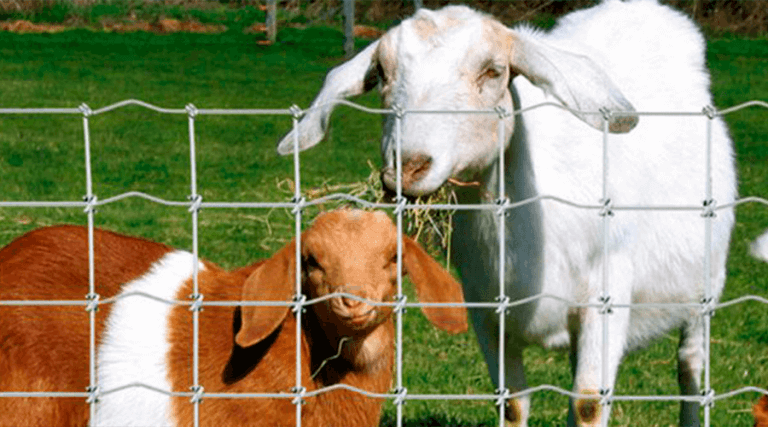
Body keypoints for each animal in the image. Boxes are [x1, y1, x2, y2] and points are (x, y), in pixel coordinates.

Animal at [277, 2, 736, 426]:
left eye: (493, 71)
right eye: (383, 74)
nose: (407, 167)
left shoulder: (607, 293)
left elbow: (588, 404)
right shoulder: (484, 306)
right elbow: (512, 404)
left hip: (706, 284)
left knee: (690, 364)